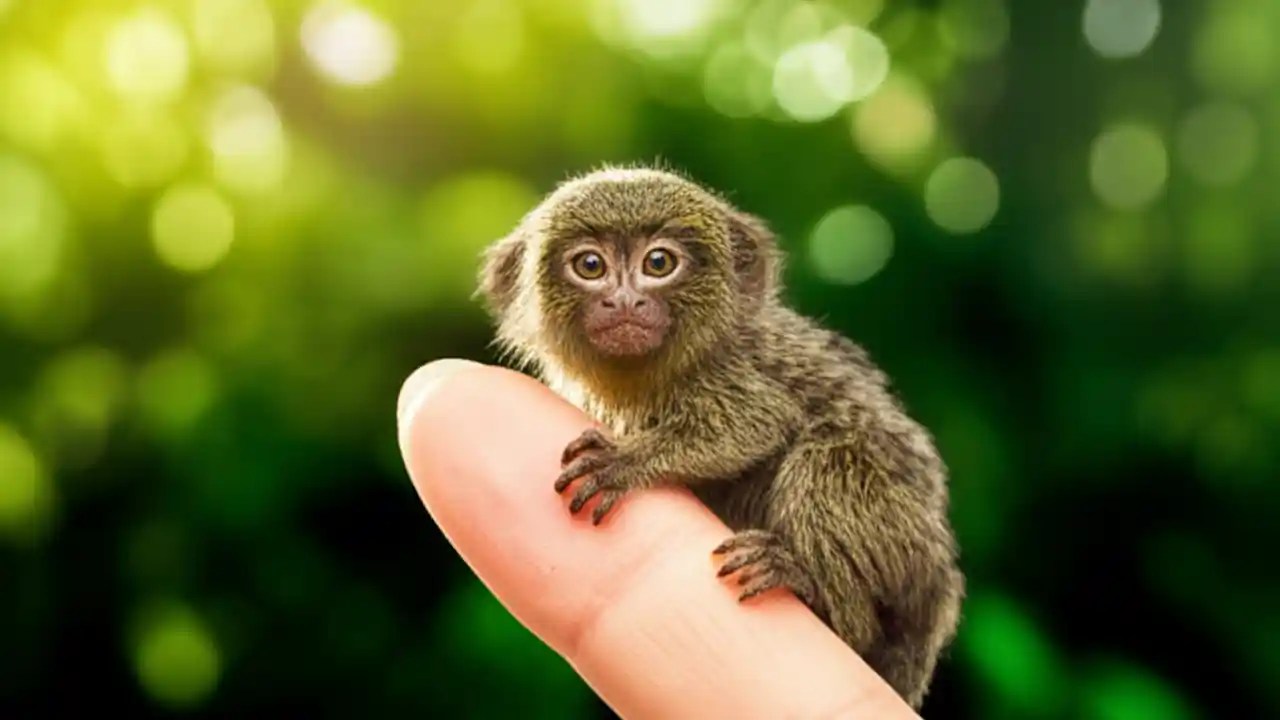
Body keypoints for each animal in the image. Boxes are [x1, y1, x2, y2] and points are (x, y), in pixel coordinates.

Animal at [475, 165, 963, 710]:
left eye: (659, 263)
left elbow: (755, 422)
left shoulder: (733, 371)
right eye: (590, 265)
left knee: (829, 458)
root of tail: (941, 588)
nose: (624, 301)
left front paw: (625, 460)